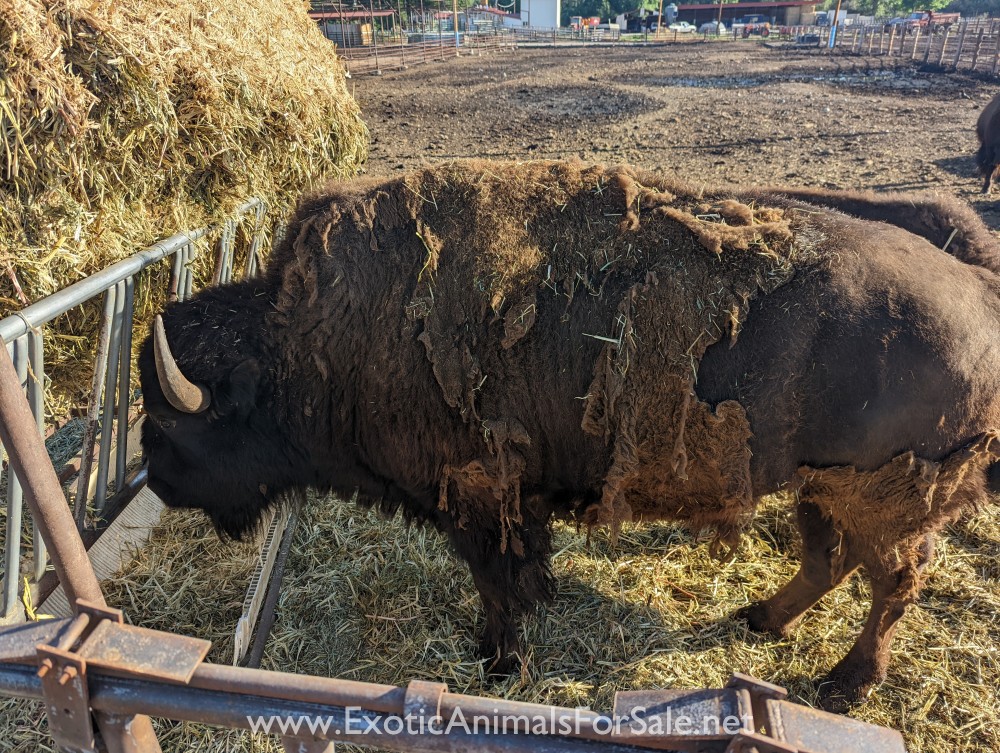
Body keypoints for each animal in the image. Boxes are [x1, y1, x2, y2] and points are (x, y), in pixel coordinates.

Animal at [139, 160, 1000, 712]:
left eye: (179, 421)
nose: (154, 477)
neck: (302, 346)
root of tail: (975, 291)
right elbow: (518, 575)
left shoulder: (483, 499)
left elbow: (499, 581)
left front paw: (499, 660)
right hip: (819, 484)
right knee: (831, 560)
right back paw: (758, 618)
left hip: (884, 499)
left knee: (893, 582)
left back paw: (843, 683)